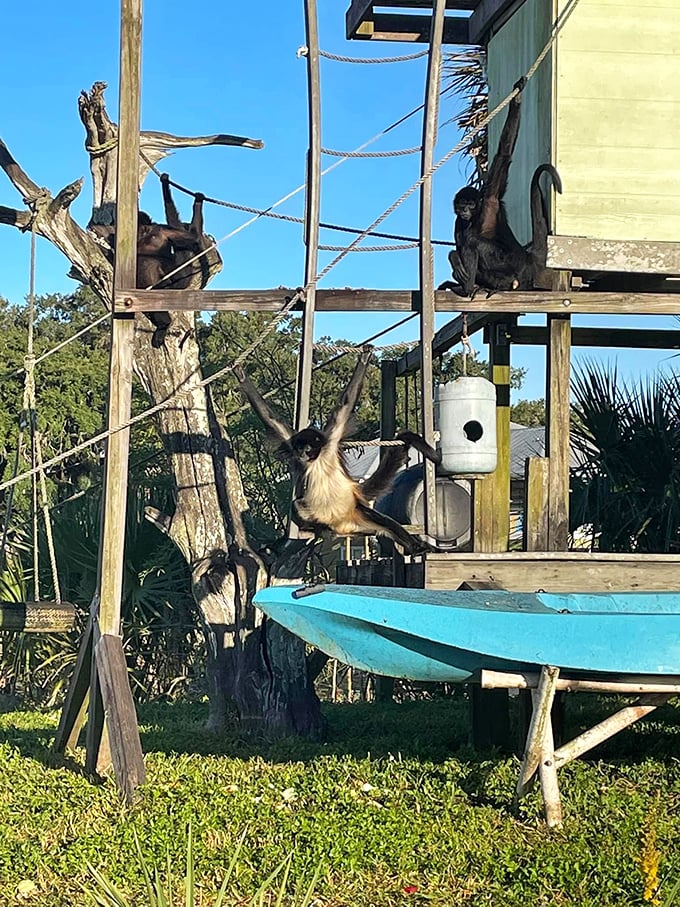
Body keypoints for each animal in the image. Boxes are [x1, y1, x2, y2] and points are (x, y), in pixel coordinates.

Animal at [233, 347, 442, 555]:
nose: (301, 454)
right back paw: (319, 530)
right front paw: (241, 376)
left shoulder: (331, 440)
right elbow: (272, 420)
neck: (317, 457)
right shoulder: (291, 441)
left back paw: (417, 547)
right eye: (299, 447)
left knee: (385, 522)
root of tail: (341, 524)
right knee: (298, 504)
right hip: (326, 517)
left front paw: (364, 357)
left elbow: (345, 405)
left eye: (307, 447)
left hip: (356, 513)